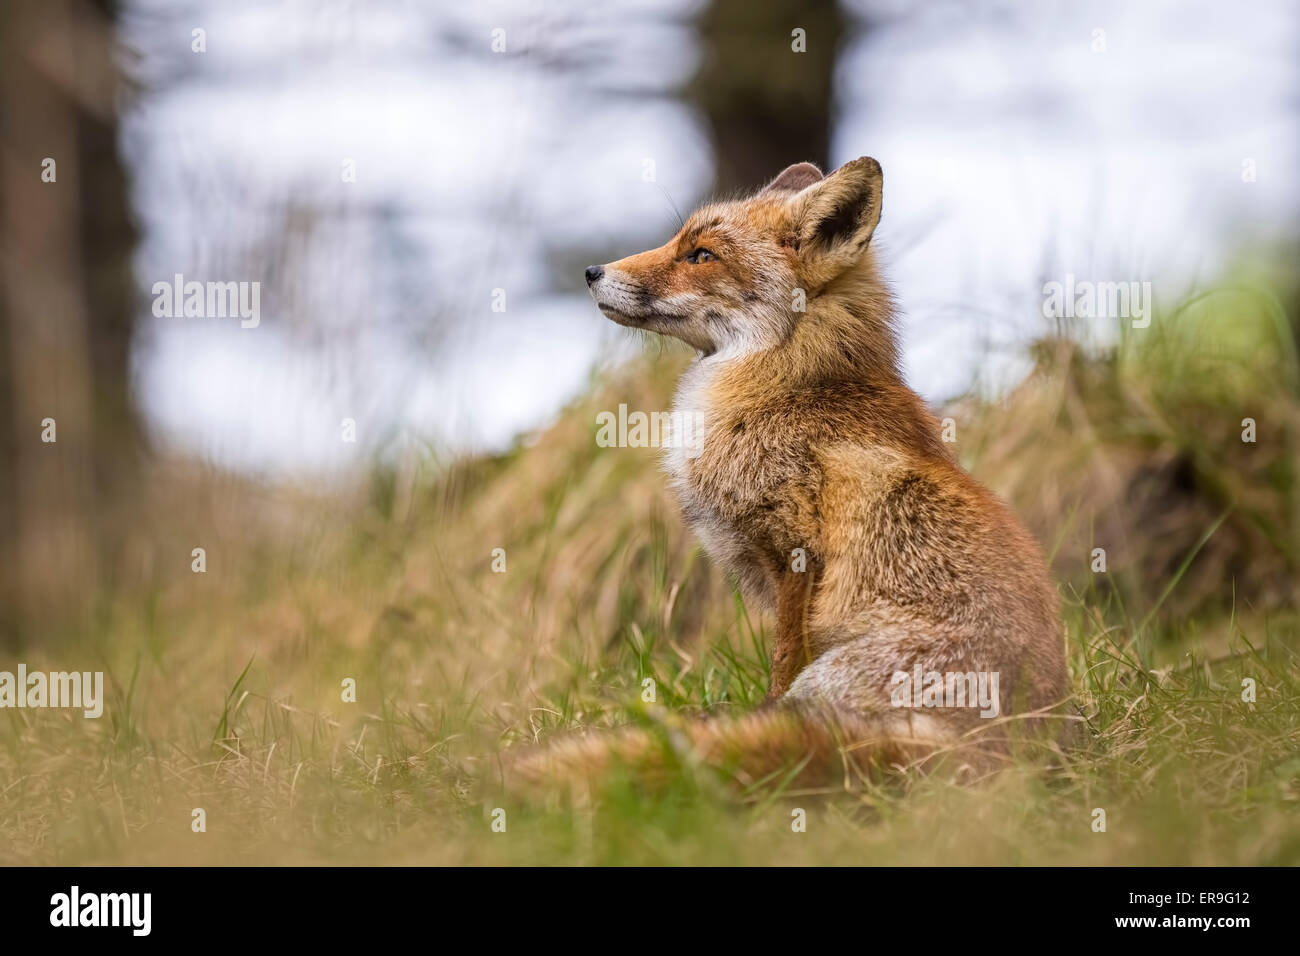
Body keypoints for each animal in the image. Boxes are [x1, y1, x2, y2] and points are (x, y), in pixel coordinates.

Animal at [506, 157, 1071, 793]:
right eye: (681, 242)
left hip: (835, 676)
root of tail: (998, 752)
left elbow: (780, 663)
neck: (789, 381)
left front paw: (756, 719)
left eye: (701, 254)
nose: (591, 271)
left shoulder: (797, 552)